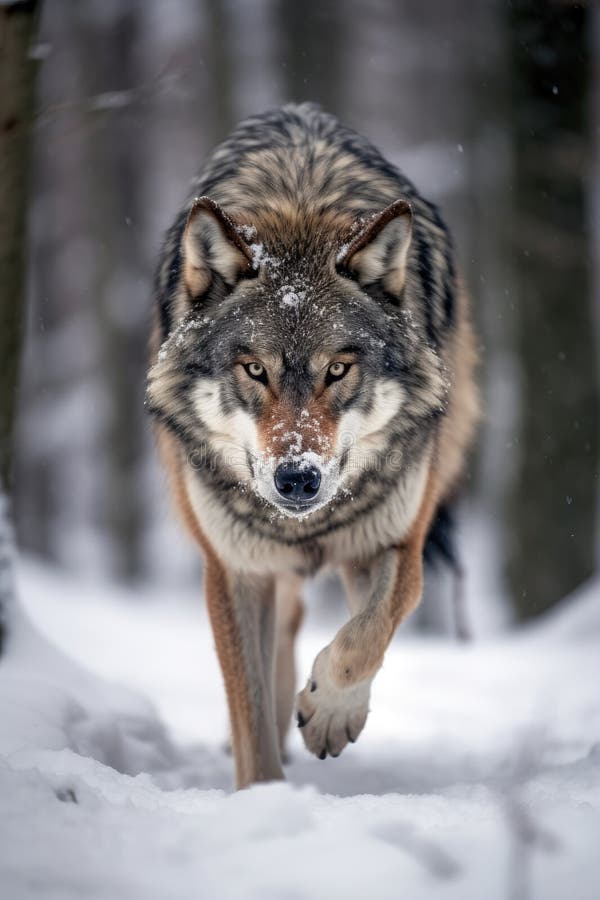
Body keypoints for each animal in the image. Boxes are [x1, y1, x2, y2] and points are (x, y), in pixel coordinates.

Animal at [146, 103, 479, 789]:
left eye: (337, 370)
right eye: (255, 370)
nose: (297, 478)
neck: (299, 207)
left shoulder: (393, 541)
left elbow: (368, 633)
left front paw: (329, 713)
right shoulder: (234, 567)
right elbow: (248, 712)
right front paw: (264, 795)